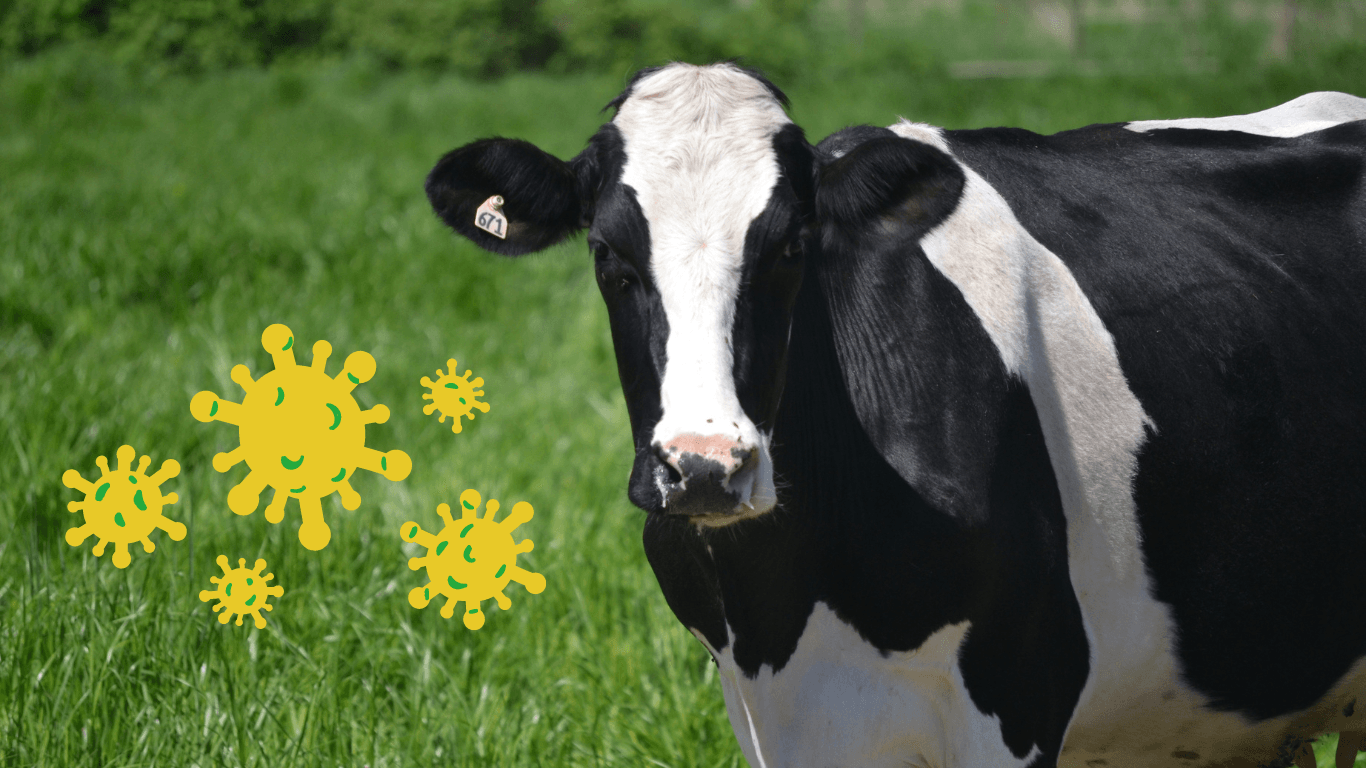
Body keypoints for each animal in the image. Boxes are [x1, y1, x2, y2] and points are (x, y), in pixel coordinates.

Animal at [424, 62, 1366, 768]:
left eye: (792, 247)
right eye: (608, 255)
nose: (704, 466)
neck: (789, 602)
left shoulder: (1020, 694)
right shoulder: (774, 718)